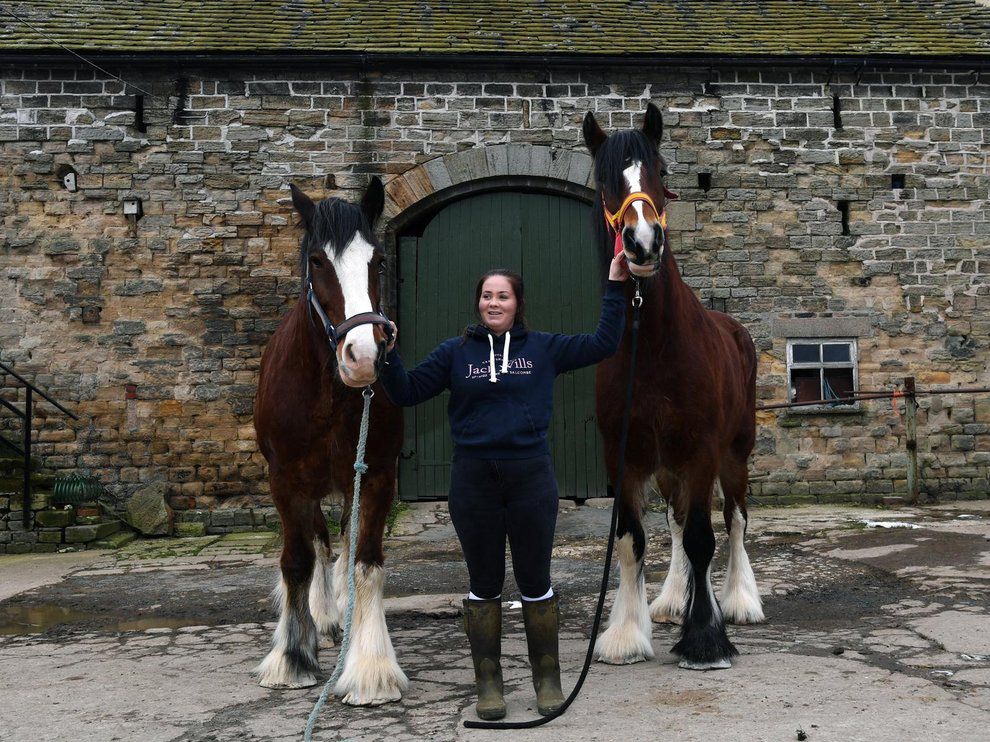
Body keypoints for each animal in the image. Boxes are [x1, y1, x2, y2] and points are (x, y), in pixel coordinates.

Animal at [252, 177, 408, 705]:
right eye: (318, 261)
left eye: (377, 260)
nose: (361, 356)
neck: (329, 393)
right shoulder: (286, 481)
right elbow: (298, 560)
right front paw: (291, 657)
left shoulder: (377, 474)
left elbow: (365, 561)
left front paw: (370, 668)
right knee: (318, 542)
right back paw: (320, 615)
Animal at [583, 103, 764, 671]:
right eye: (603, 178)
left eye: (660, 170)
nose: (643, 243)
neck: (654, 343)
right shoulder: (624, 458)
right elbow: (634, 540)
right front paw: (626, 632)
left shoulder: (702, 451)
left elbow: (707, 537)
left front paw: (705, 638)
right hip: (667, 468)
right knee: (679, 525)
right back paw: (671, 600)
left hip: (734, 453)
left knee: (735, 519)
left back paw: (740, 601)